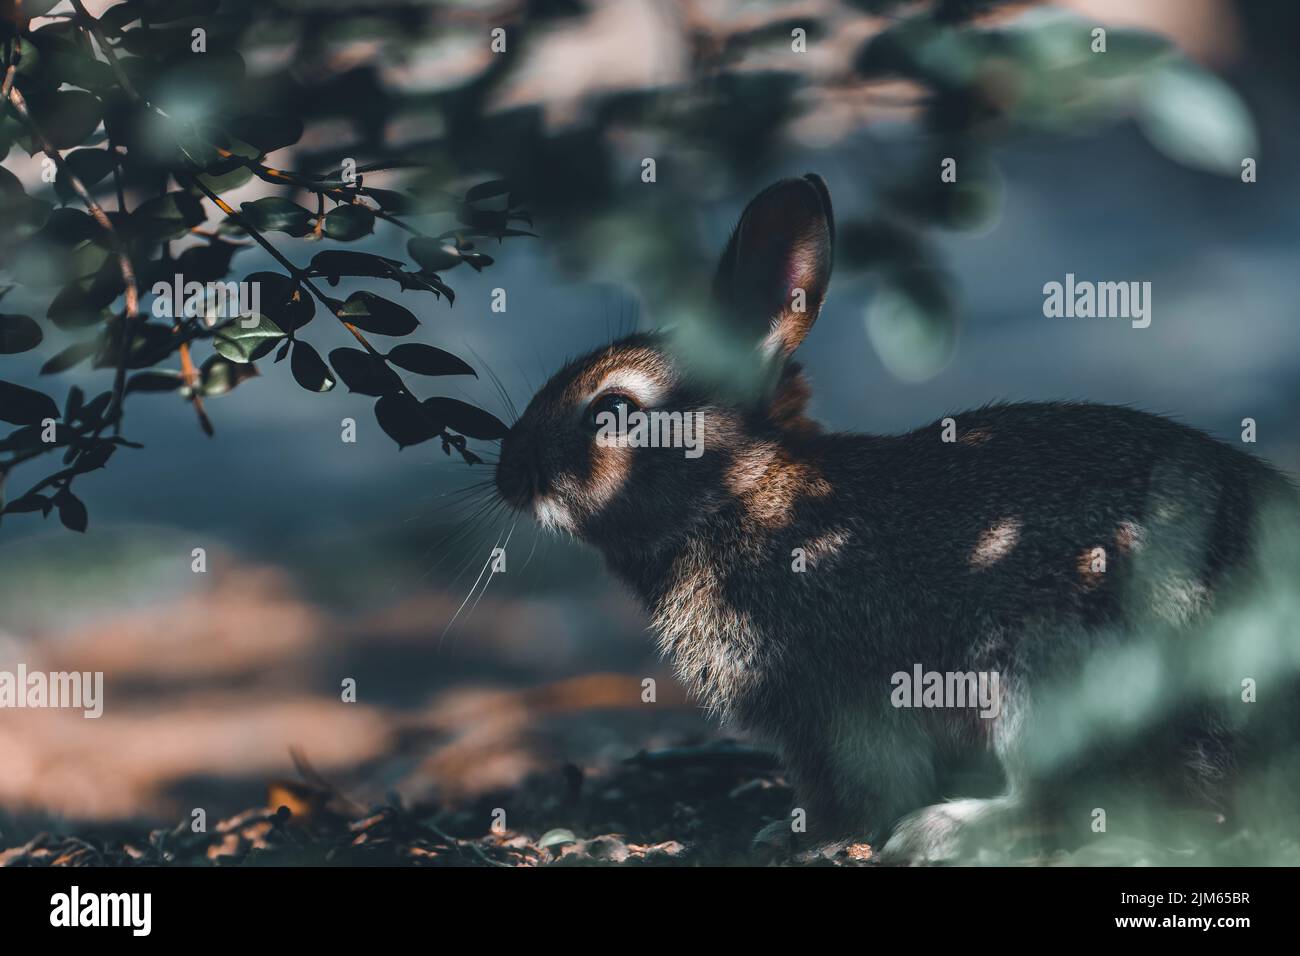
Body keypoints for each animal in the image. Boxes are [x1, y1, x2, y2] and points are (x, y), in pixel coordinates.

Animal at [494, 174, 1300, 863]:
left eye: (614, 410)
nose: (507, 472)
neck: (734, 490)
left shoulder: (836, 703)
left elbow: (857, 786)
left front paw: (805, 836)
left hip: (1042, 660)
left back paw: (943, 830)